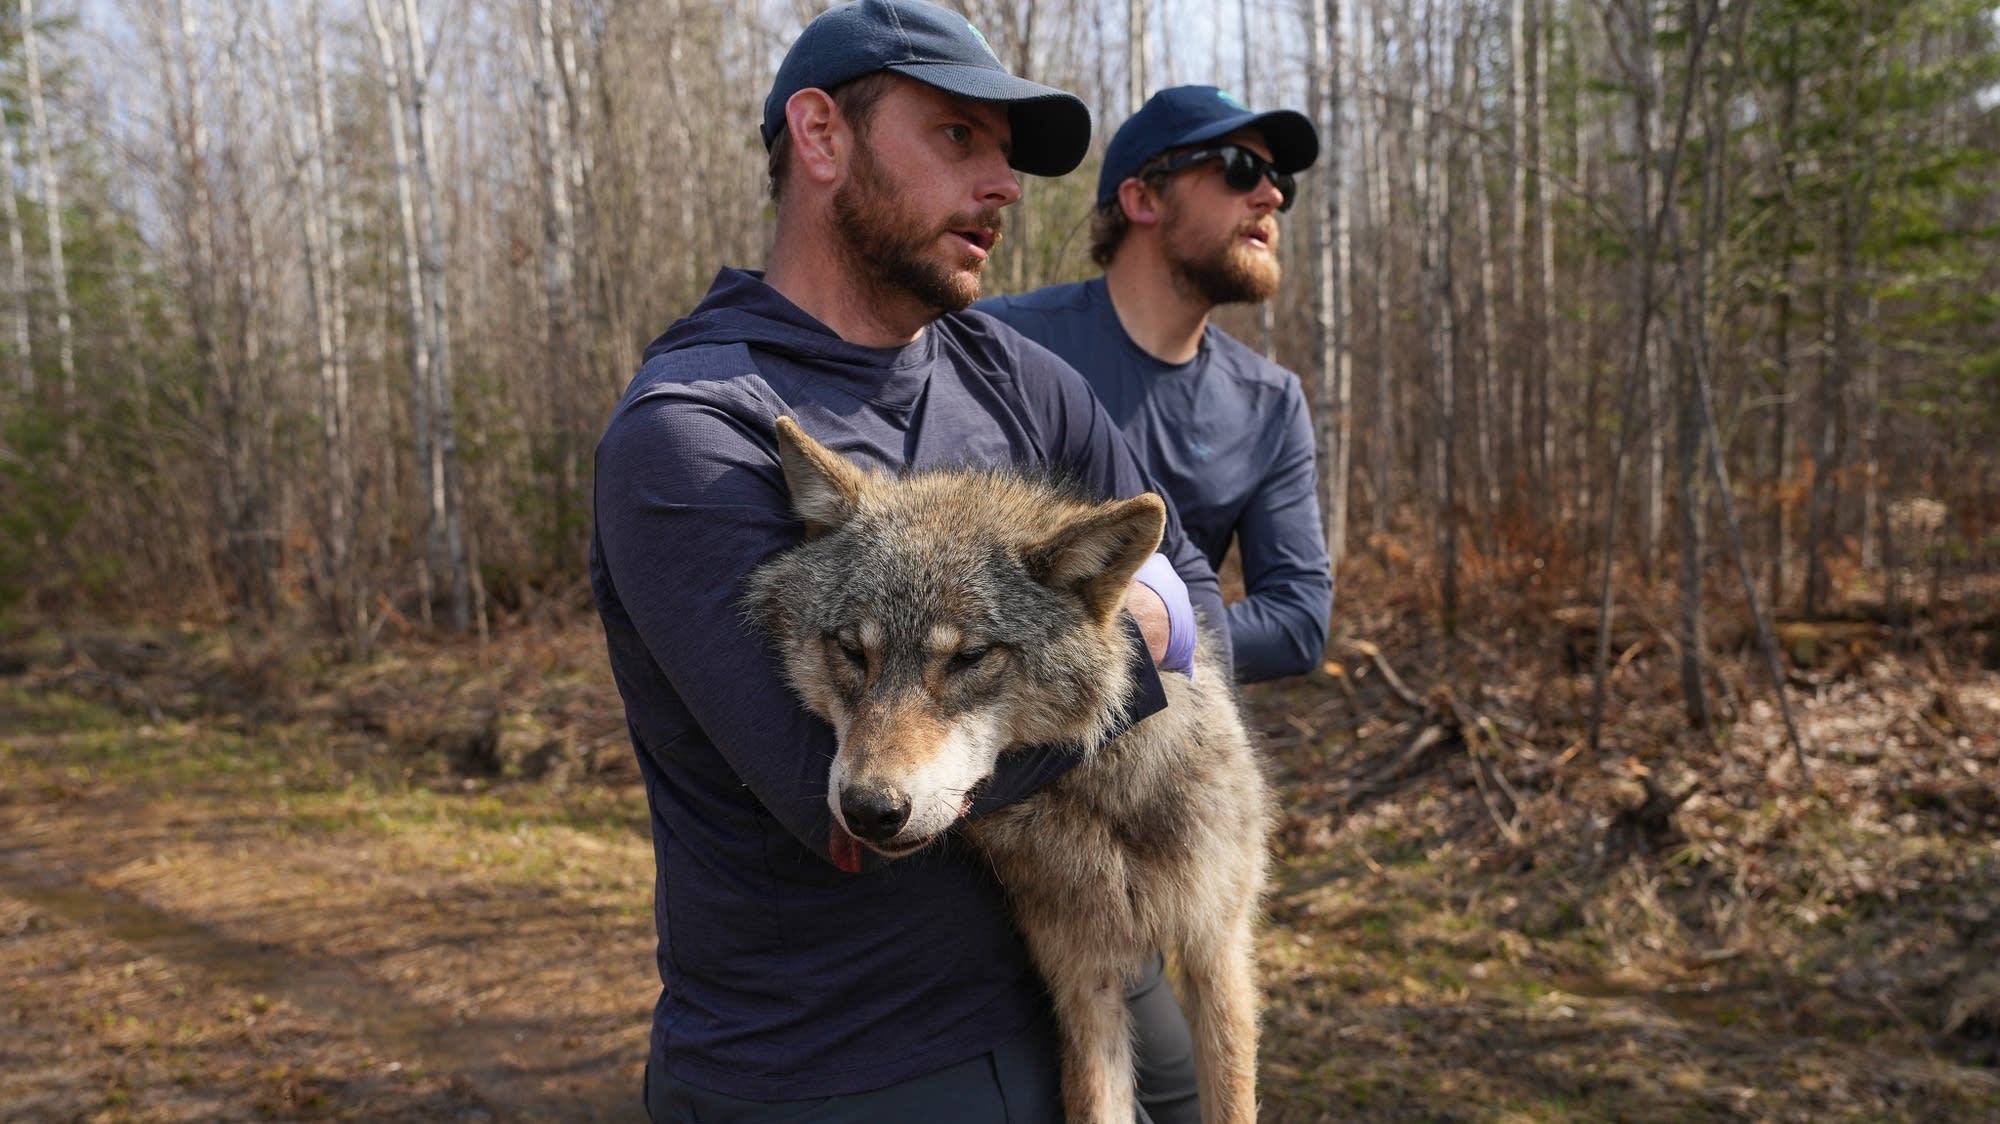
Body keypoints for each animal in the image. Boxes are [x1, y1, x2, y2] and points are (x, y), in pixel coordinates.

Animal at [745, 416, 1273, 1124]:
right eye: (853, 651)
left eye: (969, 657)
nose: (869, 810)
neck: (1096, 803)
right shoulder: (1080, 980)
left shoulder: (1217, 951)